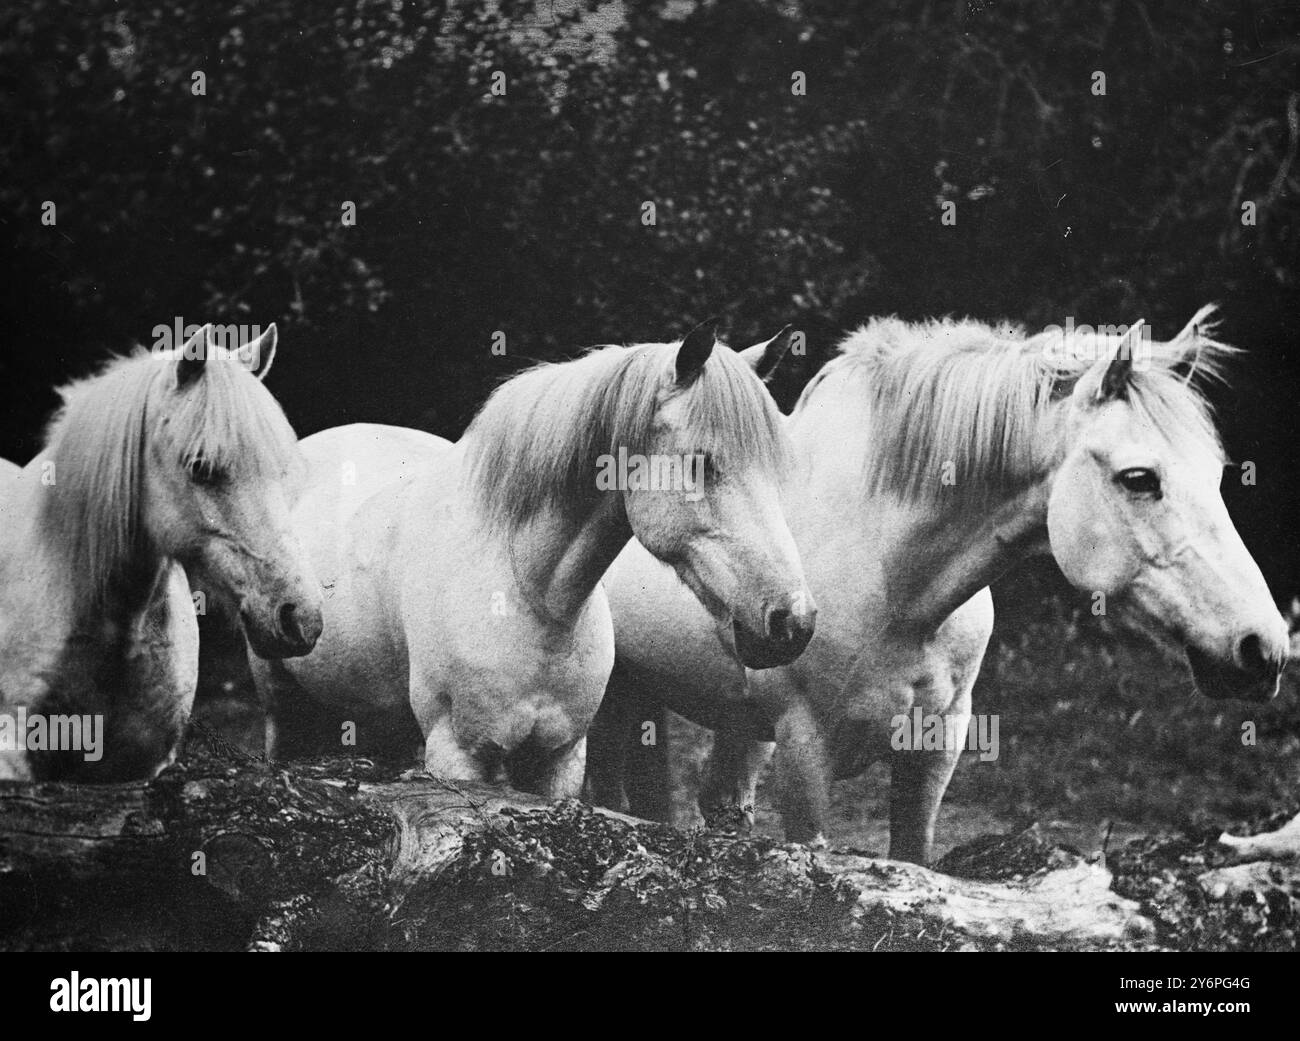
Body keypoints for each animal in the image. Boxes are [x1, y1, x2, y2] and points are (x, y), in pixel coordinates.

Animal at [249, 322, 817, 797]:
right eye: (703, 463)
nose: (793, 621)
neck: (532, 596)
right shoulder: (457, 757)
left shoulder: (559, 760)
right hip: (279, 698)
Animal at [589, 307, 1289, 862]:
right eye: (1139, 478)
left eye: (1216, 474)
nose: (1264, 649)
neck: (892, 578)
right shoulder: (804, 750)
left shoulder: (935, 747)